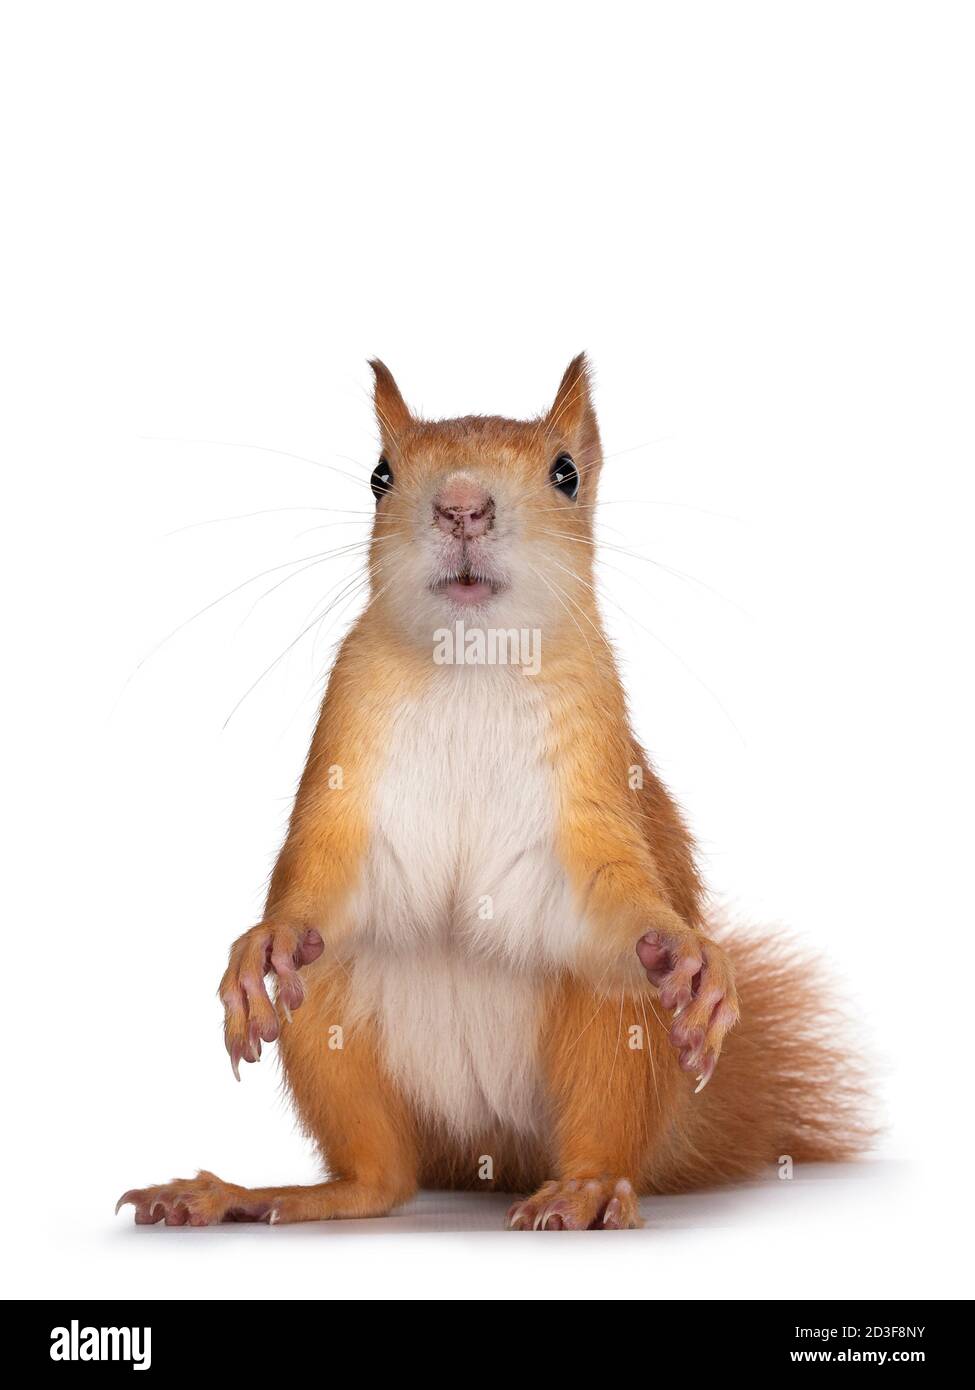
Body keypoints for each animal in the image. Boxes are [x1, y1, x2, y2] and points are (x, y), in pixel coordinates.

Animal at [118, 356, 868, 1231]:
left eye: (565, 474)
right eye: (379, 476)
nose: (461, 504)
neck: (470, 657)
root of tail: (491, 1153)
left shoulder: (596, 771)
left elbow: (614, 883)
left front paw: (686, 948)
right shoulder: (343, 754)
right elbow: (322, 866)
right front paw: (266, 942)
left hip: (619, 1035)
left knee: (605, 1119)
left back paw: (586, 1191)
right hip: (327, 1019)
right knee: (381, 1178)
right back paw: (254, 1195)